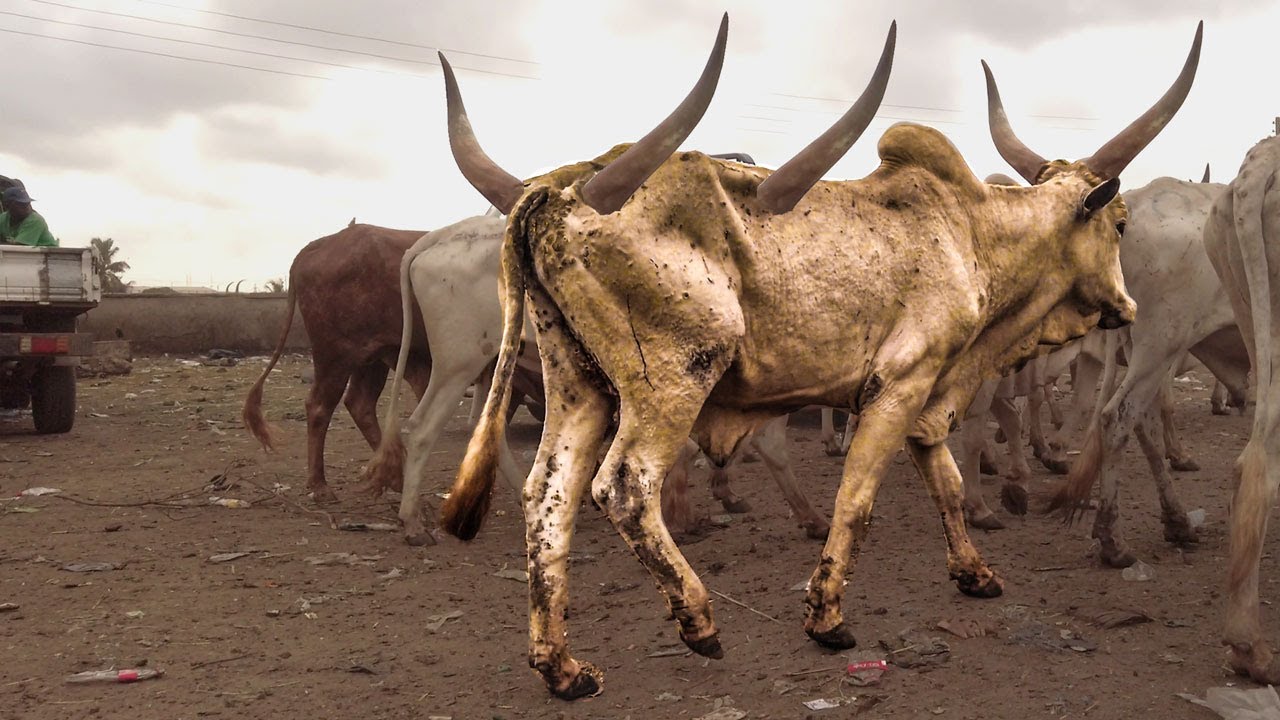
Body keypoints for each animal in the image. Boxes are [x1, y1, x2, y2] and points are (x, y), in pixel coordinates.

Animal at [433, 14, 1202, 699]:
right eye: (1121, 225)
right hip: (672, 379)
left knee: (548, 496)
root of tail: (552, 193)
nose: (1127, 308)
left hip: (578, 384)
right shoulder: (899, 385)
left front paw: (975, 574)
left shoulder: (932, 395)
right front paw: (827, 616)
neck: (972, 231)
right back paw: (698, 621)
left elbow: (948, 482)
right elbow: (856, 501)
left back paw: (561, 668)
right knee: (622, 487)